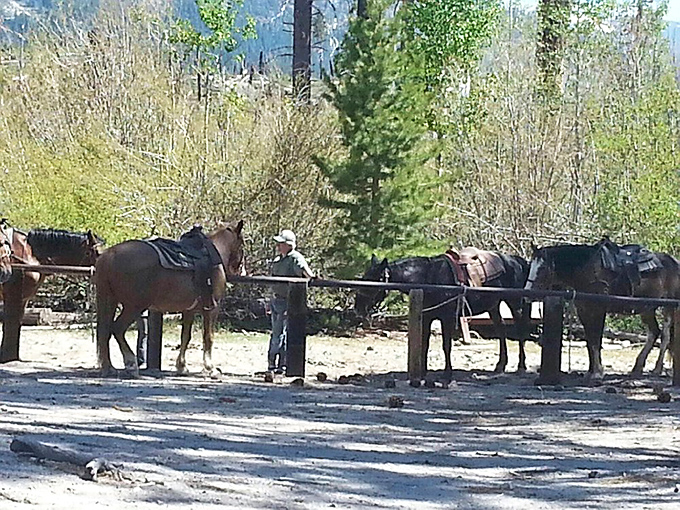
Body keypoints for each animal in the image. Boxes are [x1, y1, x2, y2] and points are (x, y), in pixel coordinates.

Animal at [0, 220, 104, 362]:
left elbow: (16, 322)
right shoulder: (12, 295)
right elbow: (10, 322)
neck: (31, 254)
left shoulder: (23, 298)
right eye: (97, 253)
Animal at [94, 220, 244, 377]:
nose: (240, 270)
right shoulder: (212, 308)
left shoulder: (189, 311)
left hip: (111, 301)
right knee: (117, 329)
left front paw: (182, 366)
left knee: (105, 332)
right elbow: (208, 337)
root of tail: (109, 254)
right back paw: (131, 364)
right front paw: (211, 368)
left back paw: (109, 367)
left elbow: (185, 337)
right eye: (242, 245)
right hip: (134, 306)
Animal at [355, 252, 531, 375]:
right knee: (501, 330)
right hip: (493, 306)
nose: (357, 307)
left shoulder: (446, 318)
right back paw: (500, 365)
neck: (429, 277)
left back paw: (521, 366)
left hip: (515, 303)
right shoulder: (427, 317)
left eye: (374, 280)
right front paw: (422, 373)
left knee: (520, 330)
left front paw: (447, 373)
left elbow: (446, 346)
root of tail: (516, 260)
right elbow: (424, 344)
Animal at [525, 239, 680, 380]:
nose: (527, 293)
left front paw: (598, 372)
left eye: (542, 268)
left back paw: (657, 369)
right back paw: (638, 367)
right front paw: (590, 371)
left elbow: (596, 340)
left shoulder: (599, 310)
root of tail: (675, 263)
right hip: (647, 308)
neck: (588, 270)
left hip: (669, 307)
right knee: (654, 333)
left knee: (665, 336)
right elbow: (590, 340)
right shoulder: (583, 310)